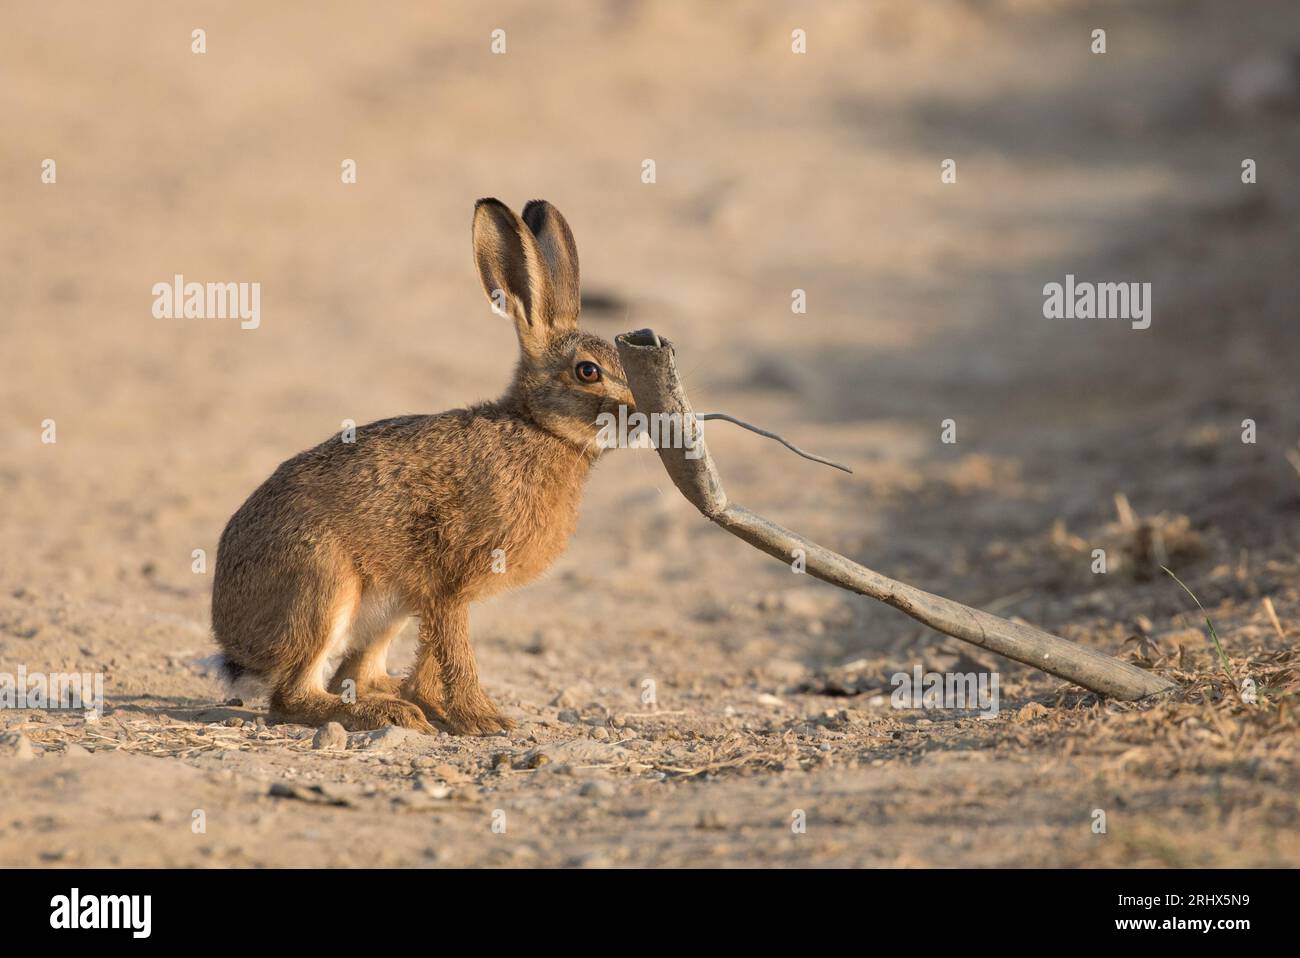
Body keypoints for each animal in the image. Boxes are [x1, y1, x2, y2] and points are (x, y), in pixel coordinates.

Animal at [210, 198, 635, 735]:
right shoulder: (449, 584)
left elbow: (437, 651)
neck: (536, 428)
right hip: (323, 585)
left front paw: (448, 706)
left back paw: (400, 701)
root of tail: (234, 643)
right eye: (587, 371)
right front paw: (485, 720)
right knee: (292, 696)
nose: (645, 412)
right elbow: (455, 650)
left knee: (355, 674)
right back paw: (388, 712)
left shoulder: (436, 595)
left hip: (385, 608)